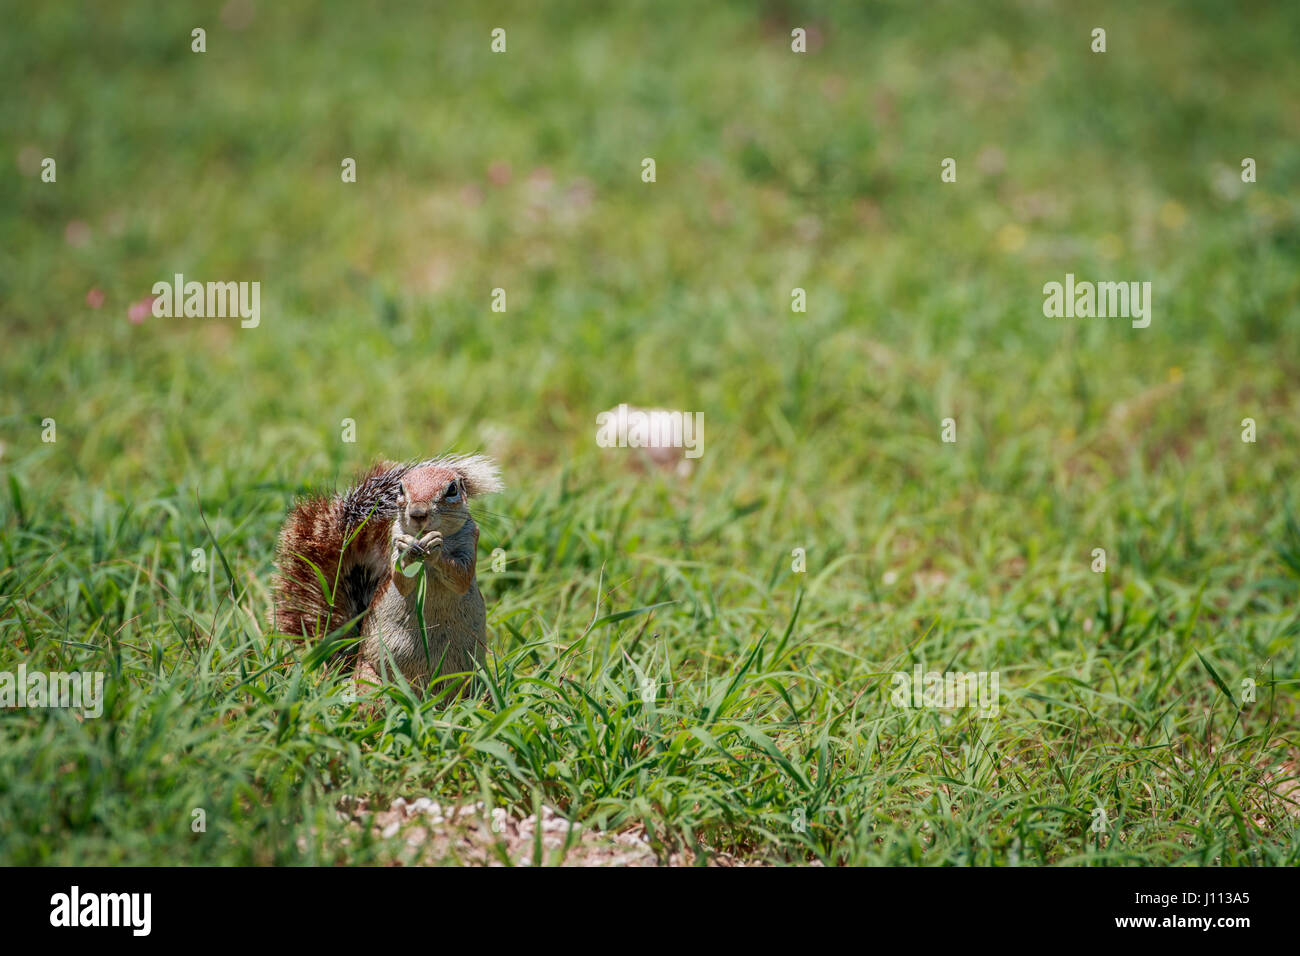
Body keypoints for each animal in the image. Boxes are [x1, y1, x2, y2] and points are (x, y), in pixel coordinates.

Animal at [271, 455, 504, 697]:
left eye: (452, 489)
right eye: (400, 488)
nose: (417, 513)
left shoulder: (470, 539)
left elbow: (461, 578)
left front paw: (435, 547)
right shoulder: (395, 537)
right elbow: (401, 581)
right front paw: (409, 550)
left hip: (478, 678)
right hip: (371, 680)